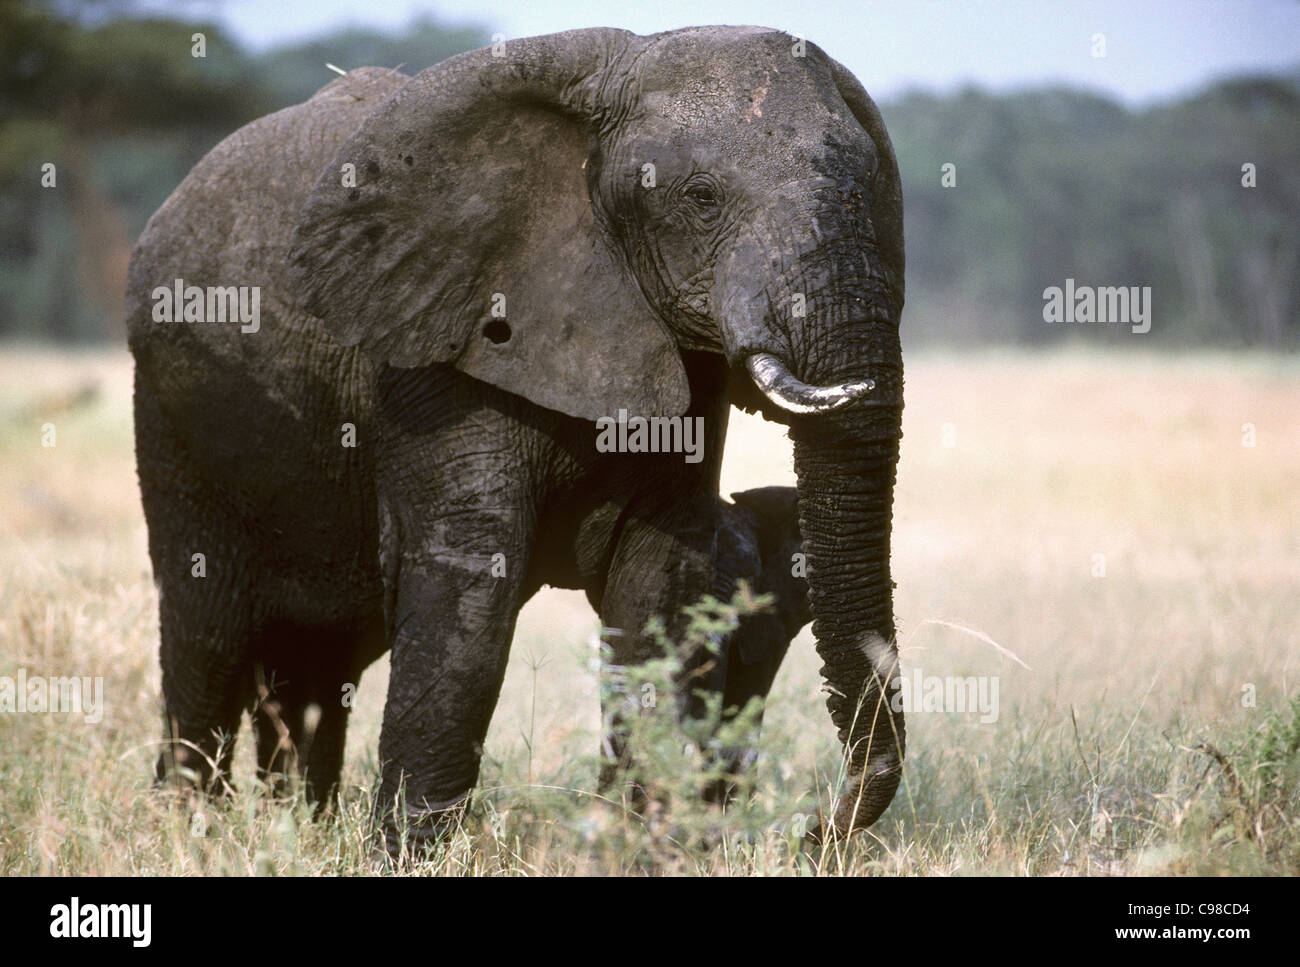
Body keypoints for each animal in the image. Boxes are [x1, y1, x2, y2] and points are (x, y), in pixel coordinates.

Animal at [127, 25, 906, 852]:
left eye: (868, 194)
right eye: (701, 199)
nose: (812, 829)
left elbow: (661, 580)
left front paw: (638, 848)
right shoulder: (432, 355)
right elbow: (470, 588)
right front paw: (407, 855)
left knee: (314, 663)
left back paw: (296, 826)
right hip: (174, 414)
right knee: (207, 635)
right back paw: (189, 830)